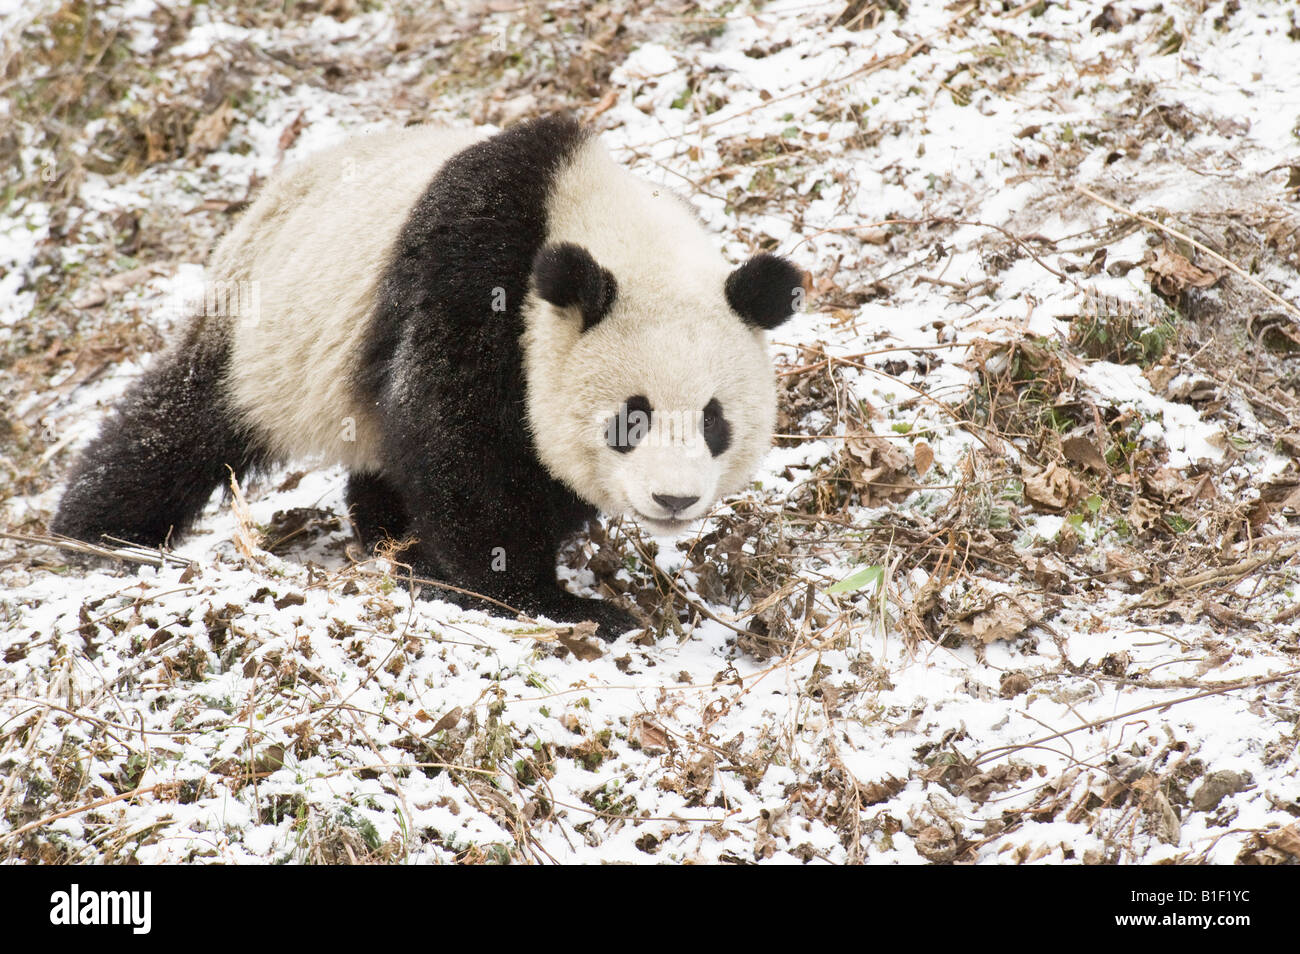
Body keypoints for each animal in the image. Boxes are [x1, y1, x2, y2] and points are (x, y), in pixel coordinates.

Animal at [51, 114, 802, 640]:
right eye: (631, 417)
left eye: (714, 421)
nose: (673, 500)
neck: (592, 220)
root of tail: (268, 196)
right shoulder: (475, 283)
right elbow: (466, 455)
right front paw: (546, 601)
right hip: (263, 327)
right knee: (185, 422)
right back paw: (97, 533)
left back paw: (390, 537)